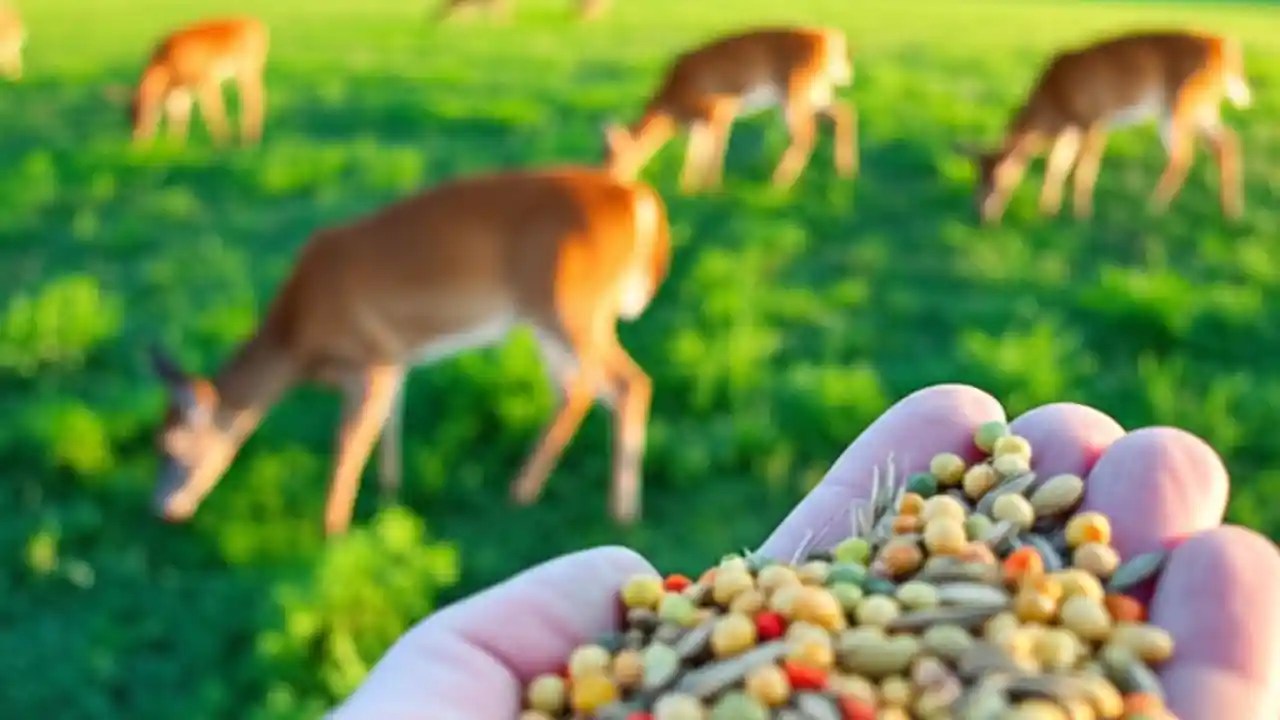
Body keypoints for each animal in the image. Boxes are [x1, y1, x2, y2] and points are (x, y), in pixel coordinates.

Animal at [130, 16, 269, 147]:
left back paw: (250, 142)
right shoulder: (183, 90)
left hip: (247, 72)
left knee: (253, 101)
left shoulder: (206, 82)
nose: (136, 140)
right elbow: (179, 116)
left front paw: (224, 145)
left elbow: (214, 113)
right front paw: (175, 147)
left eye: (140, 109)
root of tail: (257, 24)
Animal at [147, 166, 671, 537]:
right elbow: (388, 424)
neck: (298, 337)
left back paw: (605, 508)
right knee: (577, 389)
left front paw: (332, 532)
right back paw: (537, 491)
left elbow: (346, 441)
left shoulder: (368, 360)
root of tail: (636, 199)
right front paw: (389, 494)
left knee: (625, 384)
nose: (161, 511)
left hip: (568, 307)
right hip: (554, 318)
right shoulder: (393, 358)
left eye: (171, 447)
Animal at [602, 26, 858, 194]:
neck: (672, 105)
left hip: (795, 92)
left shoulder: (720, 109)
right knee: (845, 113)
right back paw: (846, 173)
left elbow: (715, 152)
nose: (609, 179)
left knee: (807, 134)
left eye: (615, 155)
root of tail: (832, 40)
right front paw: (687, 190)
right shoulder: (700, 122)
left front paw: (714, 189)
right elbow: (694, 155)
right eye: (604, 155)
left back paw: (778, 183)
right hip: (817, 91)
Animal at [959, 29, 1253, 226]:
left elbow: (1082, 170)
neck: (1053, 101)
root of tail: (1226, 49)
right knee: (1228, 143)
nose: (982, 218)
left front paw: (1081, 217)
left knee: (1183, 155)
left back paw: (1151, 208)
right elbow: (1057, 164)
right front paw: (1047, 212)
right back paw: (1231, 211)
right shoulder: (1071, 127)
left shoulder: (1094, 120)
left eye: (999, 180)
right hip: (1202, 107)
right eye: (976, 178)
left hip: (1179, 105)